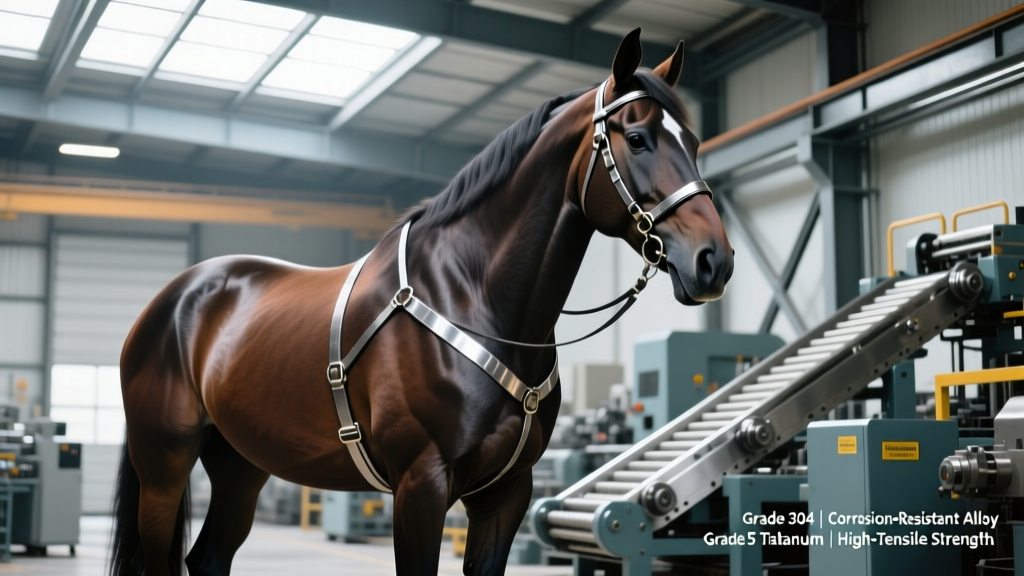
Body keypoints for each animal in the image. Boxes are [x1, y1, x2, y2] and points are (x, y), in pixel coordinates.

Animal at [109, 28, 733, 576]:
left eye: (694, 142)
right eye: (638, 138)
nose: (715, 261)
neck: (471, 297)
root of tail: (172, 299)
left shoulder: (507, 493)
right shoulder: (420, 485)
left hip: (241, 465)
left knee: (208, 558)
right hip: (163, 464)